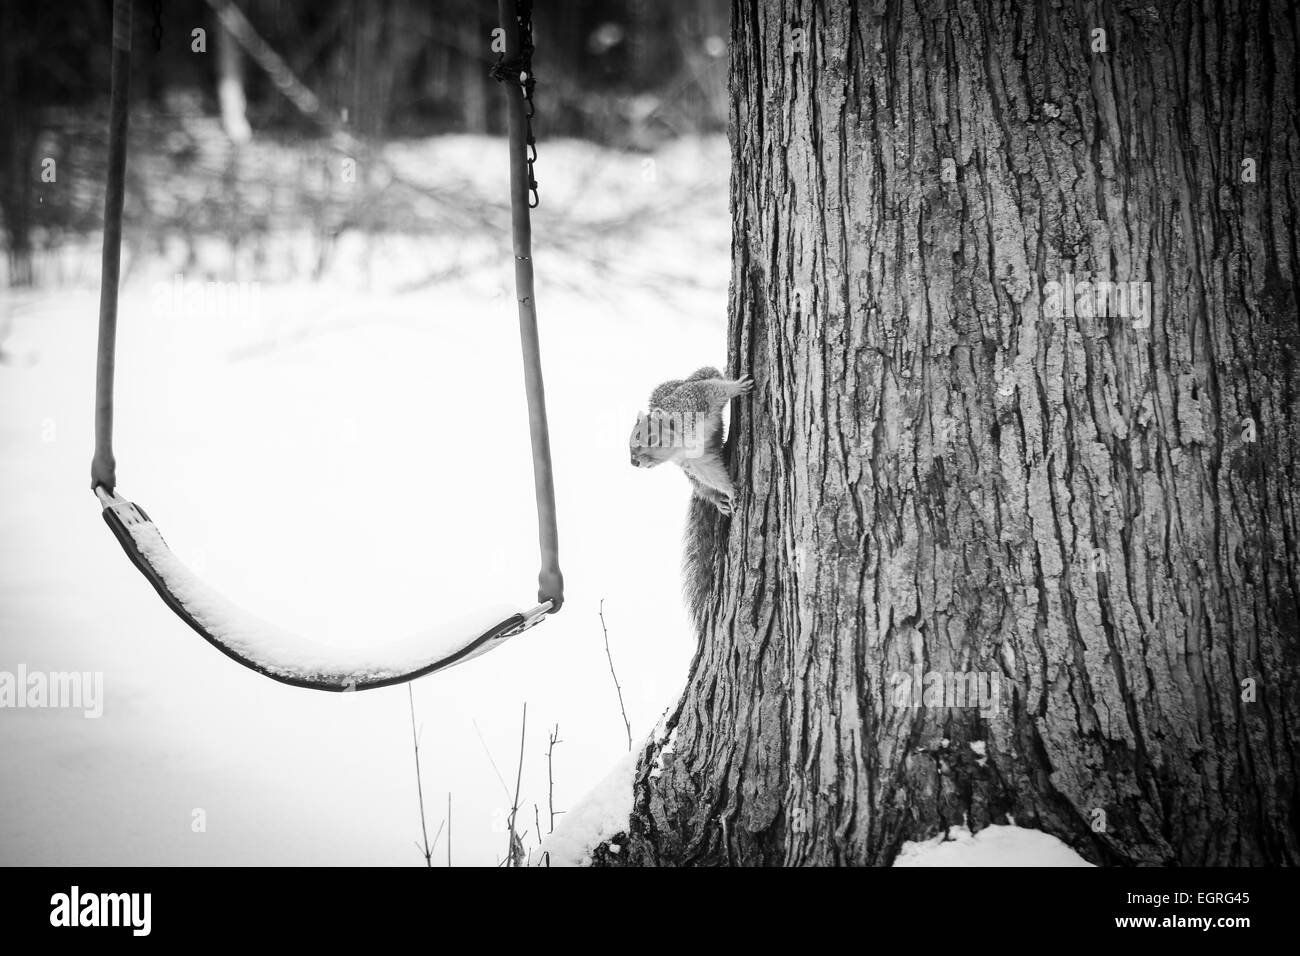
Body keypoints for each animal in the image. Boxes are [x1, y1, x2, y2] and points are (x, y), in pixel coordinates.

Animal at [628, 367, 753, 626]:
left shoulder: (696, 398)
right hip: (689, 473)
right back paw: (717, 500)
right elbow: (712, 473)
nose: (633, 462)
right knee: (702, 487)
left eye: (646, 437)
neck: (680, 441)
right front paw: (730, 491)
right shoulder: (696, 462)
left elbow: (715, 387)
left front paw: (736, 386)